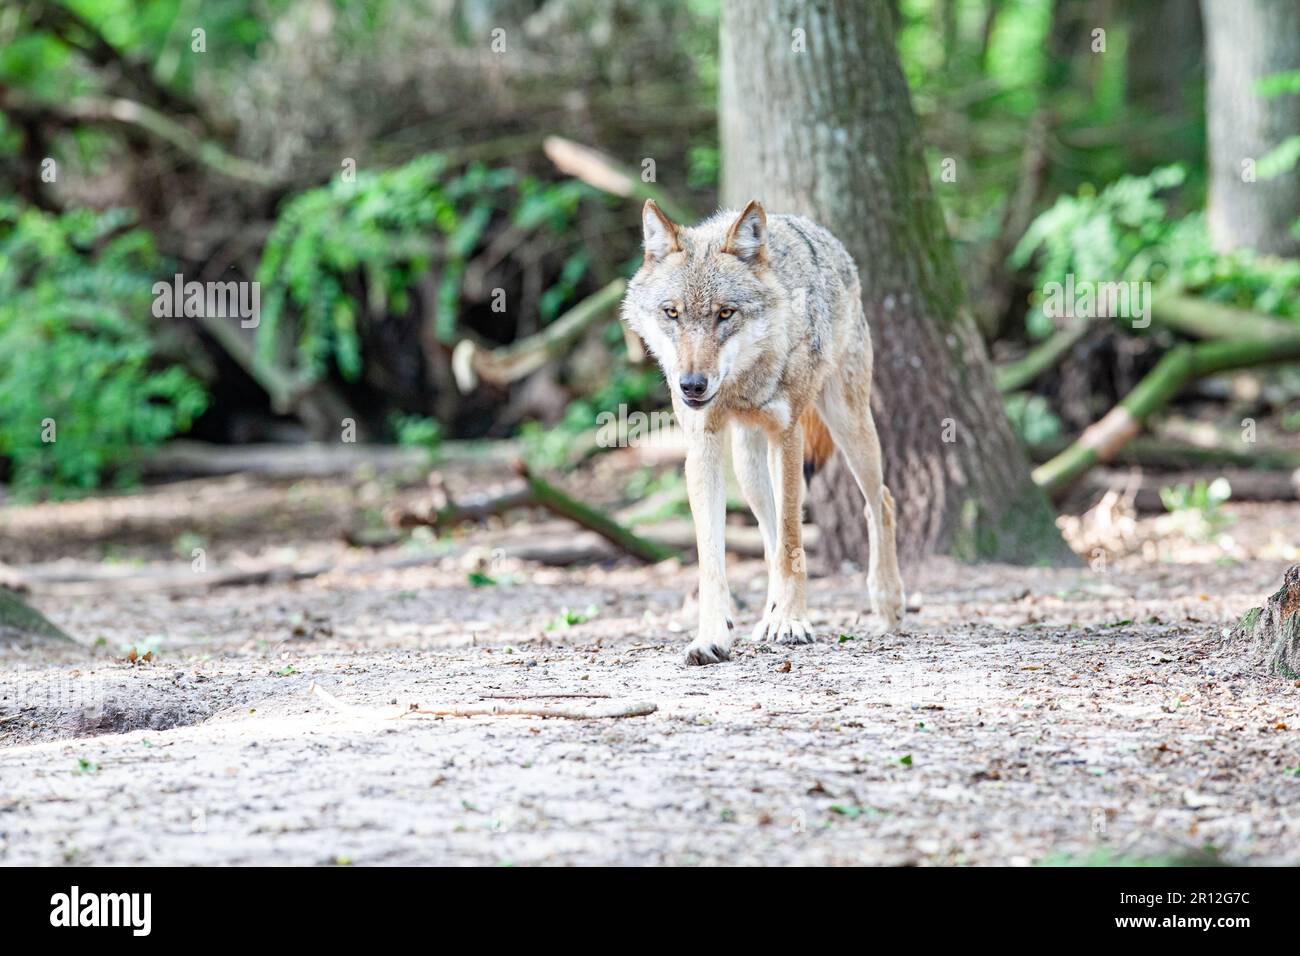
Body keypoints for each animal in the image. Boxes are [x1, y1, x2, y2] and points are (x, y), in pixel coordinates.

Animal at [621, 199, 906, 665]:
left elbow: (793, 544)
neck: (741, 386)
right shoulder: (703, 448)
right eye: (672, 313)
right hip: (749, 467)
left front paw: (792, 622)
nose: (691, 386)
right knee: (769, 540)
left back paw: (887, 603)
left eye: (725, 313)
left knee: (879, 502)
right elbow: (713, 559)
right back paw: (767, 618)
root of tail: (815, 229)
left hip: (849, 425)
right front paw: (712, 635)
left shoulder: (787, 437)